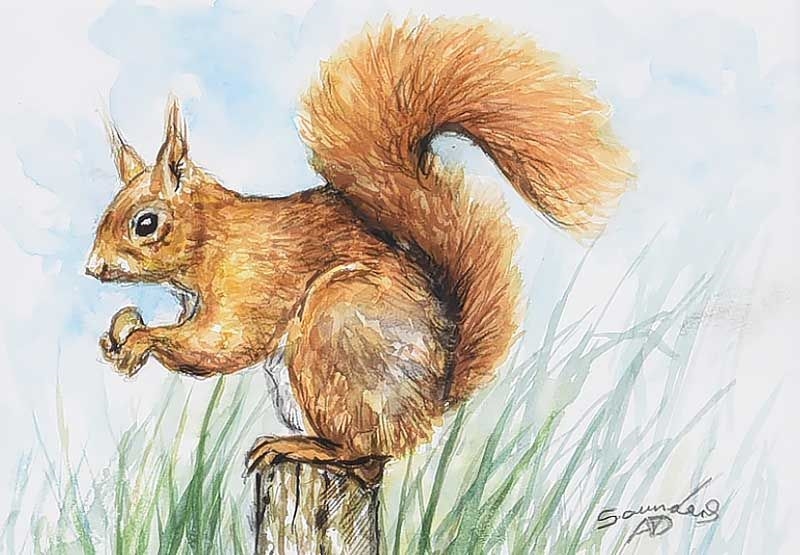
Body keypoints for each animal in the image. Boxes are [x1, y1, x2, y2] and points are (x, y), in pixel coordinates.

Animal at [87, 17, 632, 484]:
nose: (92, 268)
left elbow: (220, 345)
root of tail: (432, 403)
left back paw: (302, 447)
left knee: (365, 454)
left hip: (335, 329)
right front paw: (120, 334)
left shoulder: (252, 280)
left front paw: (141, 340)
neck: (213, 238)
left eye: (146, 223)